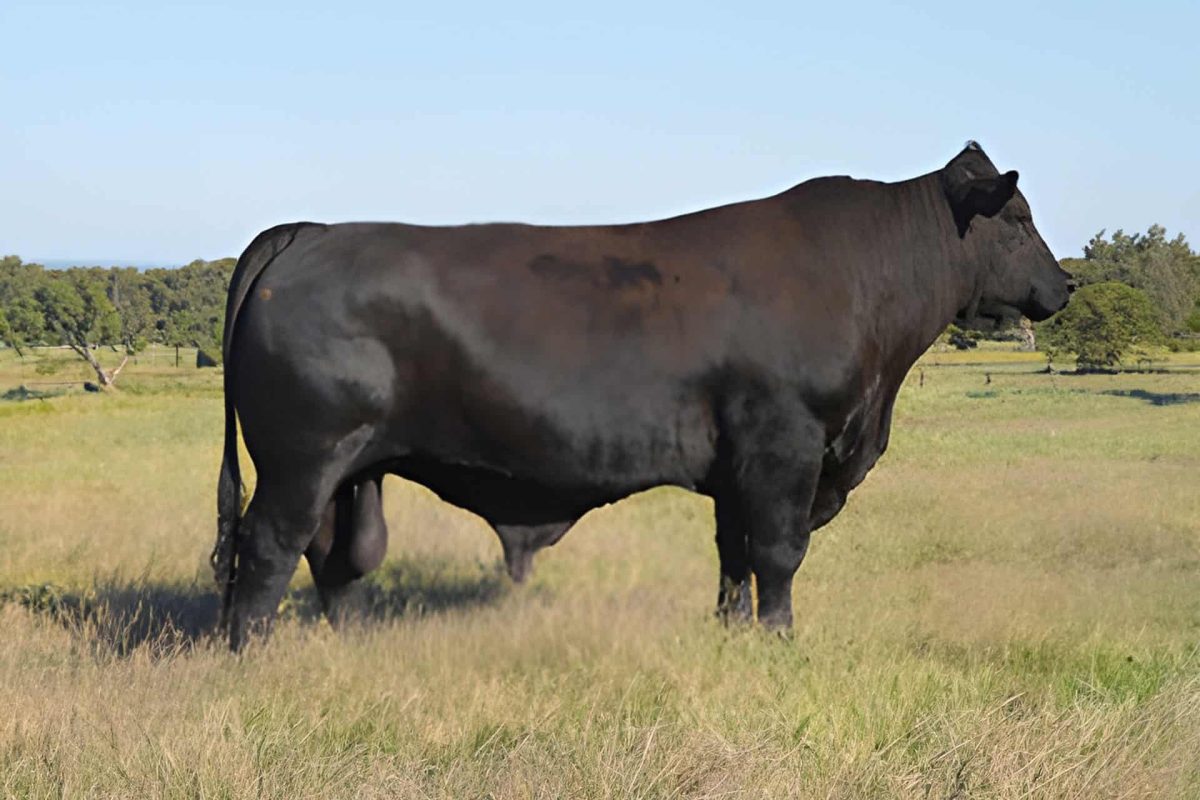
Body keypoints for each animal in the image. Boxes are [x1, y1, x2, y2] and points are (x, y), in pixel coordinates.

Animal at [212, 142, 1073, 650]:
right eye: (1018, 217)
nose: (1065, 285)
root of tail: (314, 230)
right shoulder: (786, 445)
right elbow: (780, 552)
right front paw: (780, 642)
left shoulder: (737, 469)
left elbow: (734, 555)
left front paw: (732, 635)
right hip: (303, 457)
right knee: (267, 549)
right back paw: (253, 656)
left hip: (349, 467)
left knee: (334, 554)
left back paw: (337, 647)